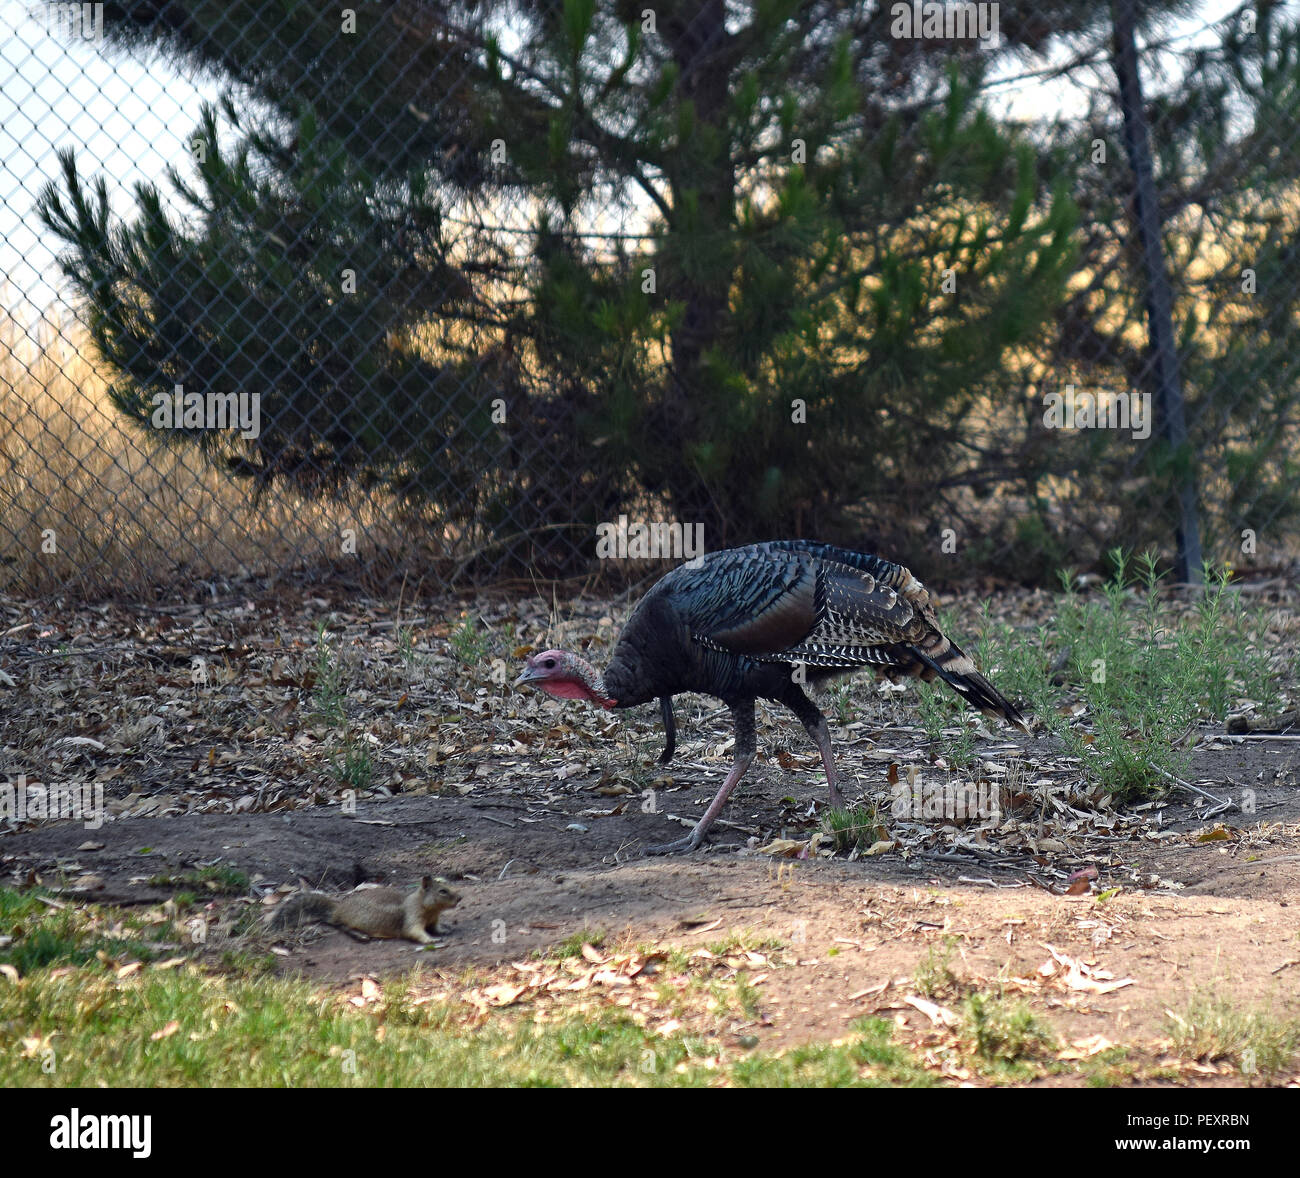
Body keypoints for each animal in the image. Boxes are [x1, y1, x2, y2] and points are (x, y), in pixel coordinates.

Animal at [269, 876, 460, 944]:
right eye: (442, 891)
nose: (460, 898)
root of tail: (338, 909)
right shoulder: (412, 917)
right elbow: (414, 932)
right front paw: (431, 940)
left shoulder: (433, 920)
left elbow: (436, 927)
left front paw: (445, 929)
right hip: (356, 921)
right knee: (343, 927)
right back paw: (361, 936)